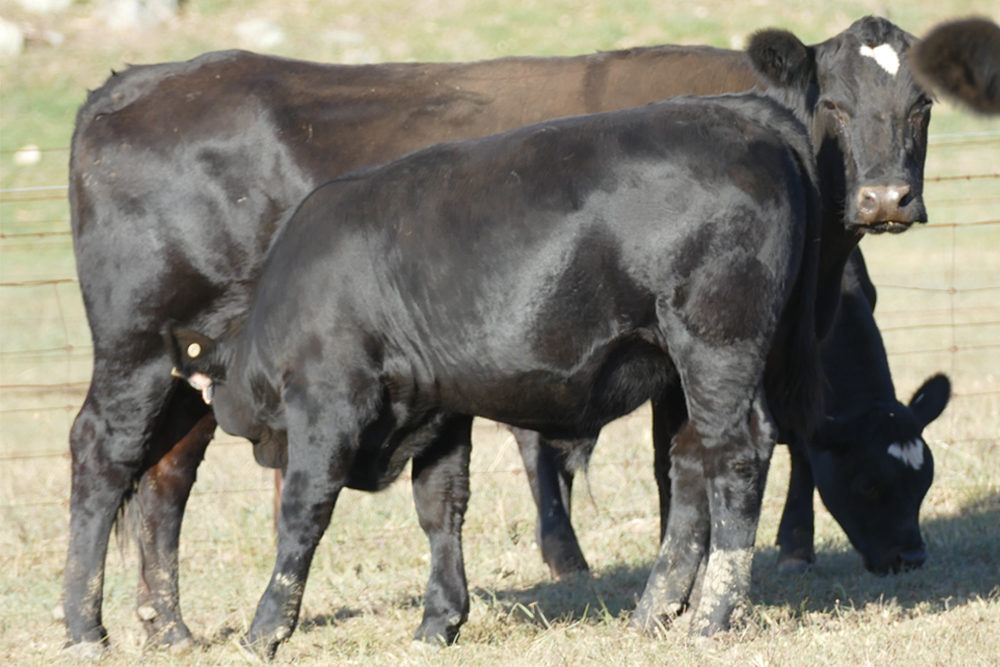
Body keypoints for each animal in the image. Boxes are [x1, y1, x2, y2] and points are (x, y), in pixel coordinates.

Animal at [518, 249, 951, 579]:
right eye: (867, 485)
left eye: (925, 483)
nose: (911, 558)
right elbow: (667, 463)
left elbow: (804, 457)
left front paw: (796, 545)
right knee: (533, 444)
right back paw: (564, 551)